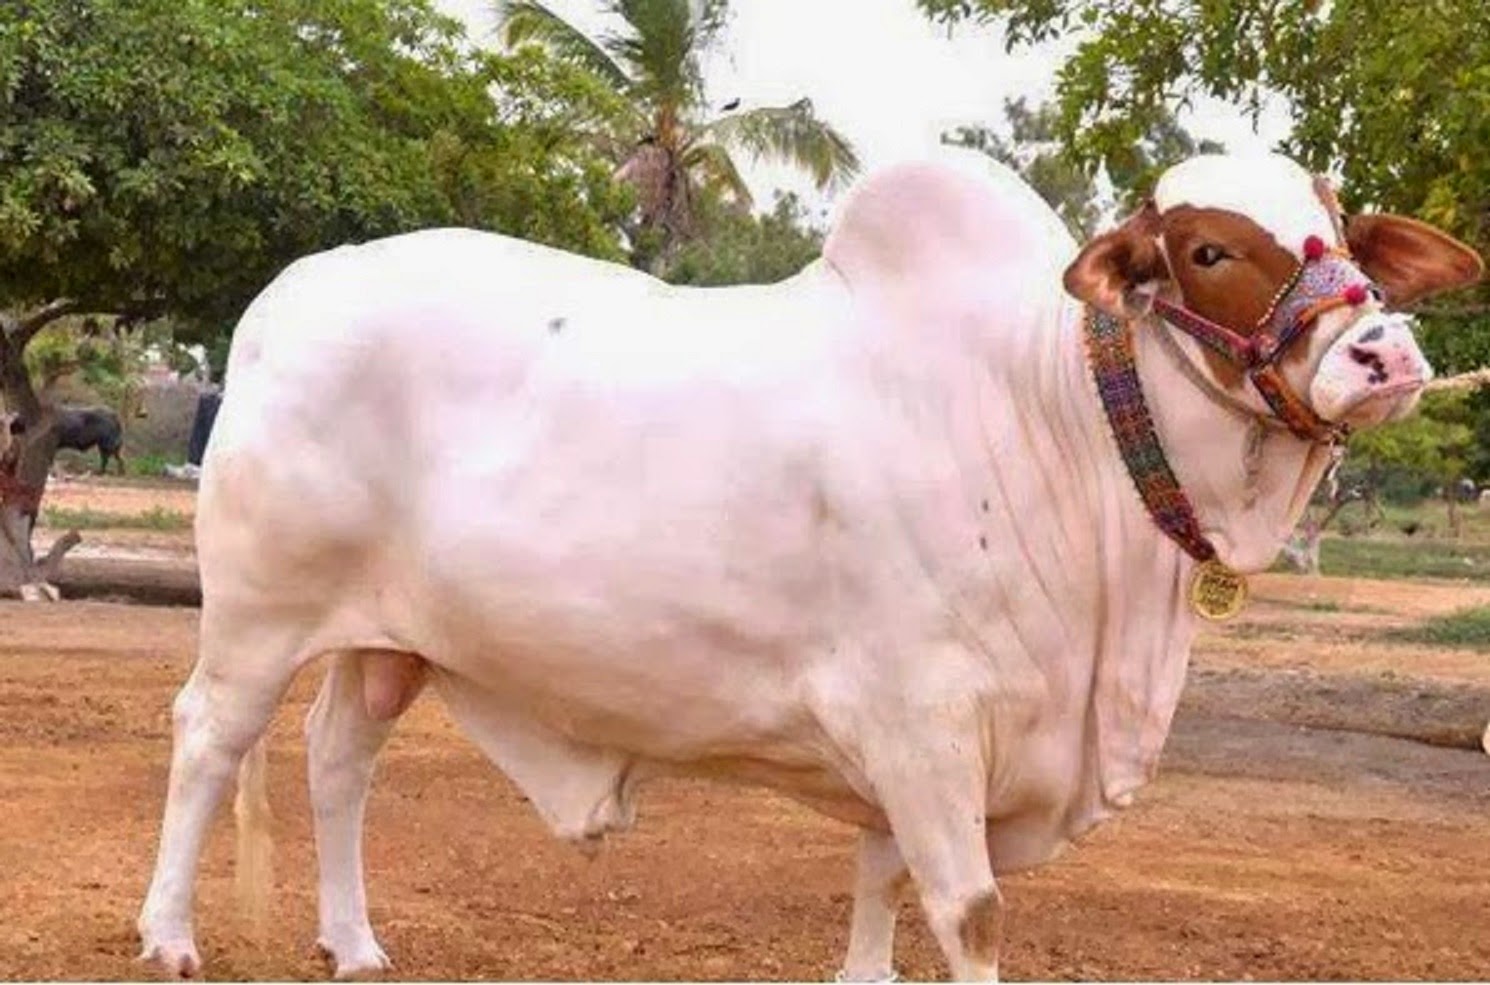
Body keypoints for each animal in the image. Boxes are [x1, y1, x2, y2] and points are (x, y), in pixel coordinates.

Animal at [137, 152, 1483, 981]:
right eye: (1203, 250)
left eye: (1338, 217)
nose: (1383, 352)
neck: (1050, 416)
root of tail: (287, 296)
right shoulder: (924, 719)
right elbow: (968, 911)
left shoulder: (915, 745)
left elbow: (879, 883)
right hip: (258, 612)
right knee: (208, 738)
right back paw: (168, 934)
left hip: (390, 640)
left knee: (336, 757)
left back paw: (354, 941)